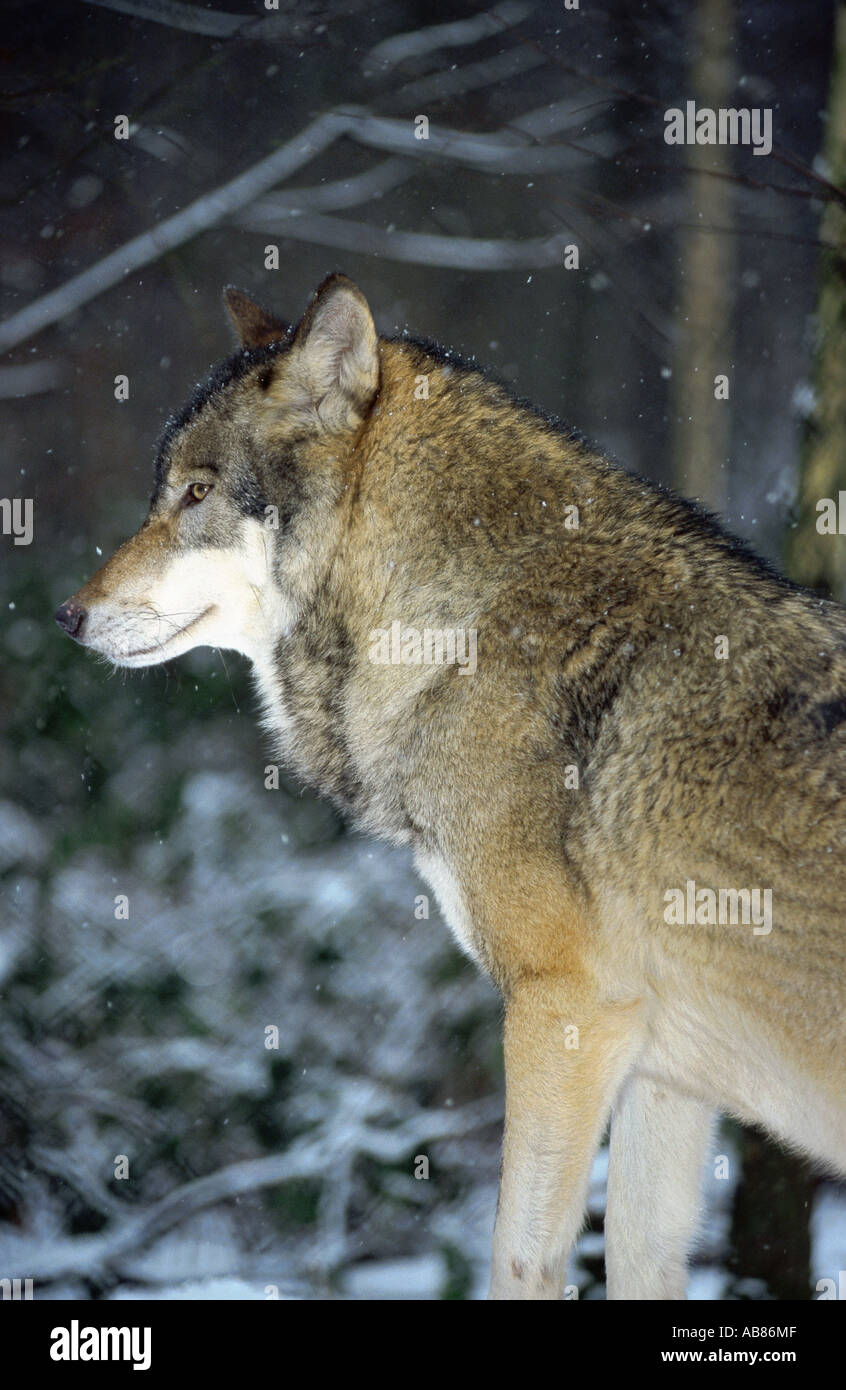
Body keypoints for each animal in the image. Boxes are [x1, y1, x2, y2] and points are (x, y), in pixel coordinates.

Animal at [56, 274, 846, 1299]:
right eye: (164, 492)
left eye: (196, 492)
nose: (67, 617)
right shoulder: (665, 1073)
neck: (458, 620)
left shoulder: (566, 1015)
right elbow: (638, 1261)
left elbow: (516, 1254)